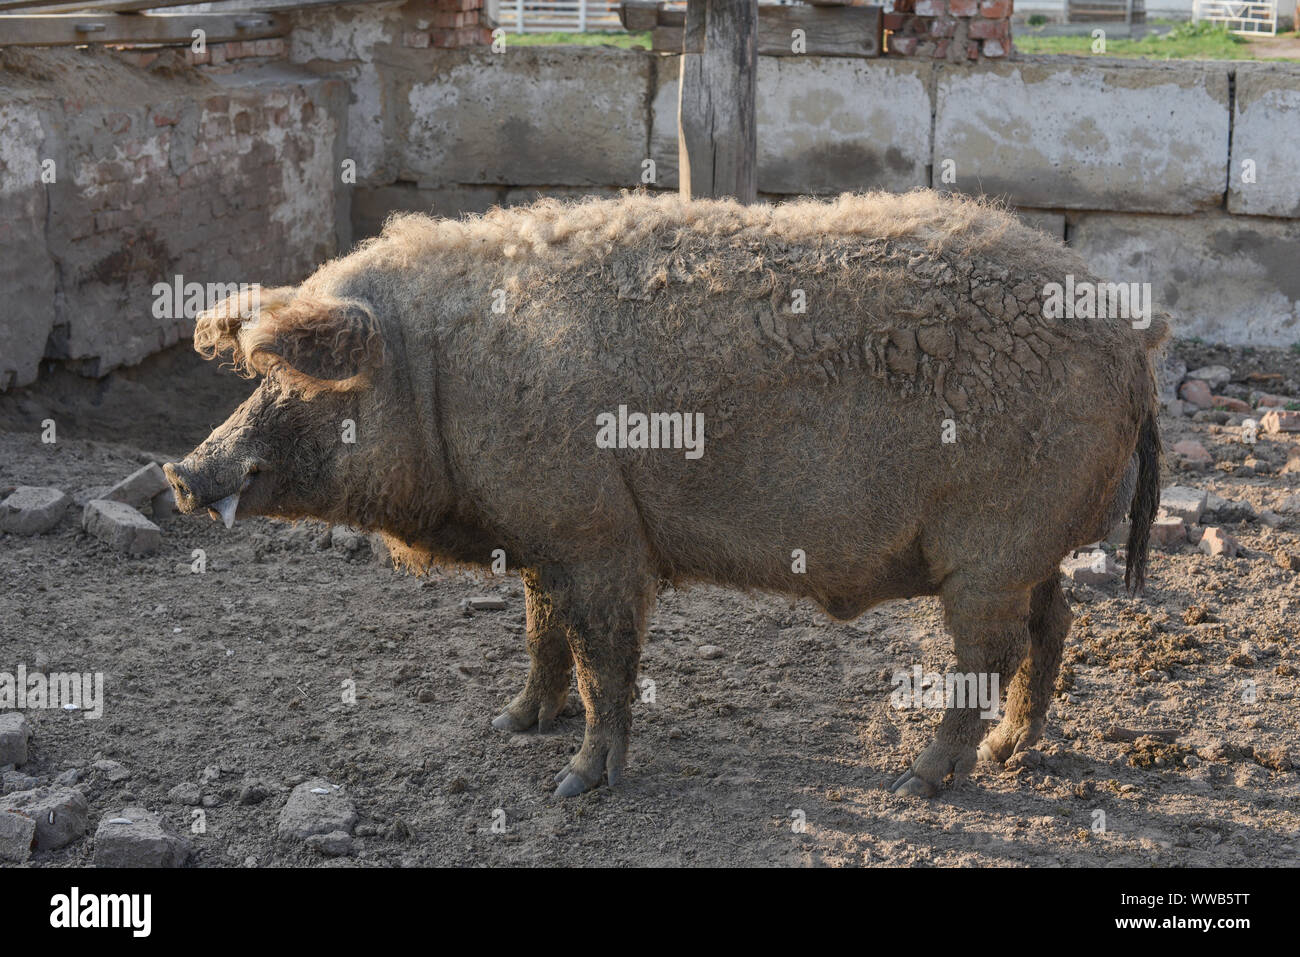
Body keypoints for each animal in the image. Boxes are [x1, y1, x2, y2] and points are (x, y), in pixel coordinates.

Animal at [165, 190, 1167, 799]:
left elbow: (603, 655)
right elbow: (541, 633)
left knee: (990, 652)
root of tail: (1134, 345)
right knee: (1054, 624)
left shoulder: (598, 534)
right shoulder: (547, 537)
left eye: (297, 379)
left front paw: (577, 783)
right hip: (1032, 548)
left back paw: (921, 779)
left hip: (994, 545)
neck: (437, 367)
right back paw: (1009, 753)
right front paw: (513, 725)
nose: (182, 474)